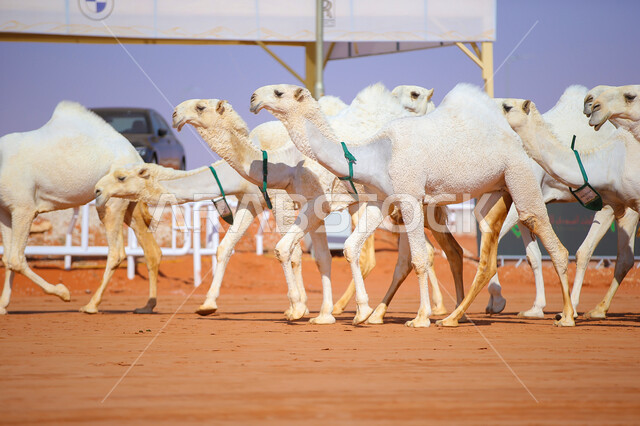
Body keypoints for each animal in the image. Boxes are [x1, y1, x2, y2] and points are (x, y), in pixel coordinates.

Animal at [0, 101, 161, 315]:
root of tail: (137, 155)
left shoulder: (23, 208)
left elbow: (16, 259)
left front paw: (63, 292)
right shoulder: (5, 210)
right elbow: (8, 258)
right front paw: (2, 306)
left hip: (110, 202)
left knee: (117, 252)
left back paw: (91, 305)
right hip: (130, 203)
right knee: (151, 250)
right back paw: (147, 306)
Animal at [94, 161, 308, 316]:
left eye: (121, 177)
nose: (97, 190)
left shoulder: (282, 199)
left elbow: (293, 251)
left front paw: (298, 307)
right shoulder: (252, 201)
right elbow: (224, 247)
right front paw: (208, 304)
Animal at [250, 83, 575, 327]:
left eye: (278, 92)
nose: (252, 98)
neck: (374, 153)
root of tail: (517, 141)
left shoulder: (409, 197)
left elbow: (420, 258)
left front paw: (419, 318)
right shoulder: (380, 200)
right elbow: (352, 247)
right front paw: (363, 313)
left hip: (519, 174)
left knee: (539, 226)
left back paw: (566, 316)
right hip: (494, 191)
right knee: (482, 251)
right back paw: (454, 316)